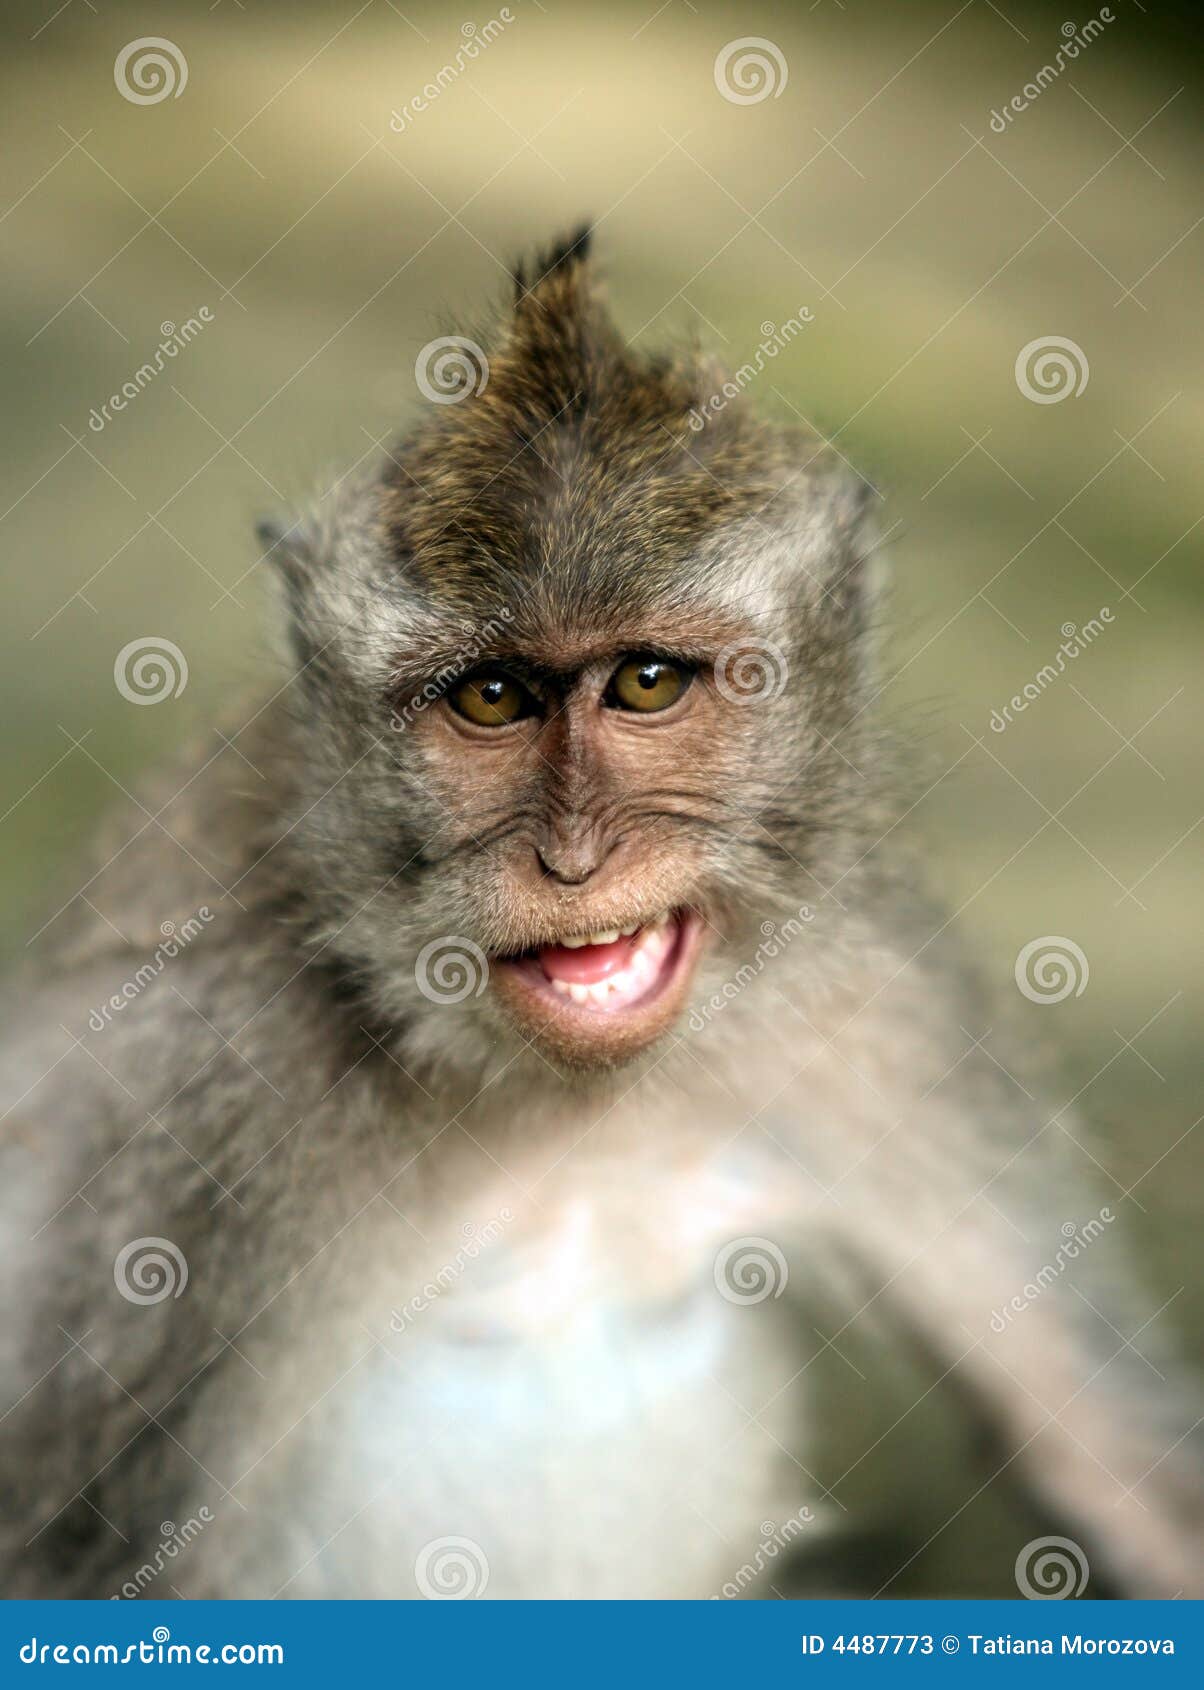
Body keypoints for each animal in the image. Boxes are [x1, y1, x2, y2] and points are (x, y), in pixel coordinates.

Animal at [0, 228, 1199, 1601]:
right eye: (490, 698)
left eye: (645, 682)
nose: (571, 861)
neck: (570, 1104)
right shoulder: (192, 1104)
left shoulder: (884, 994)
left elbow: (1103, 1451)